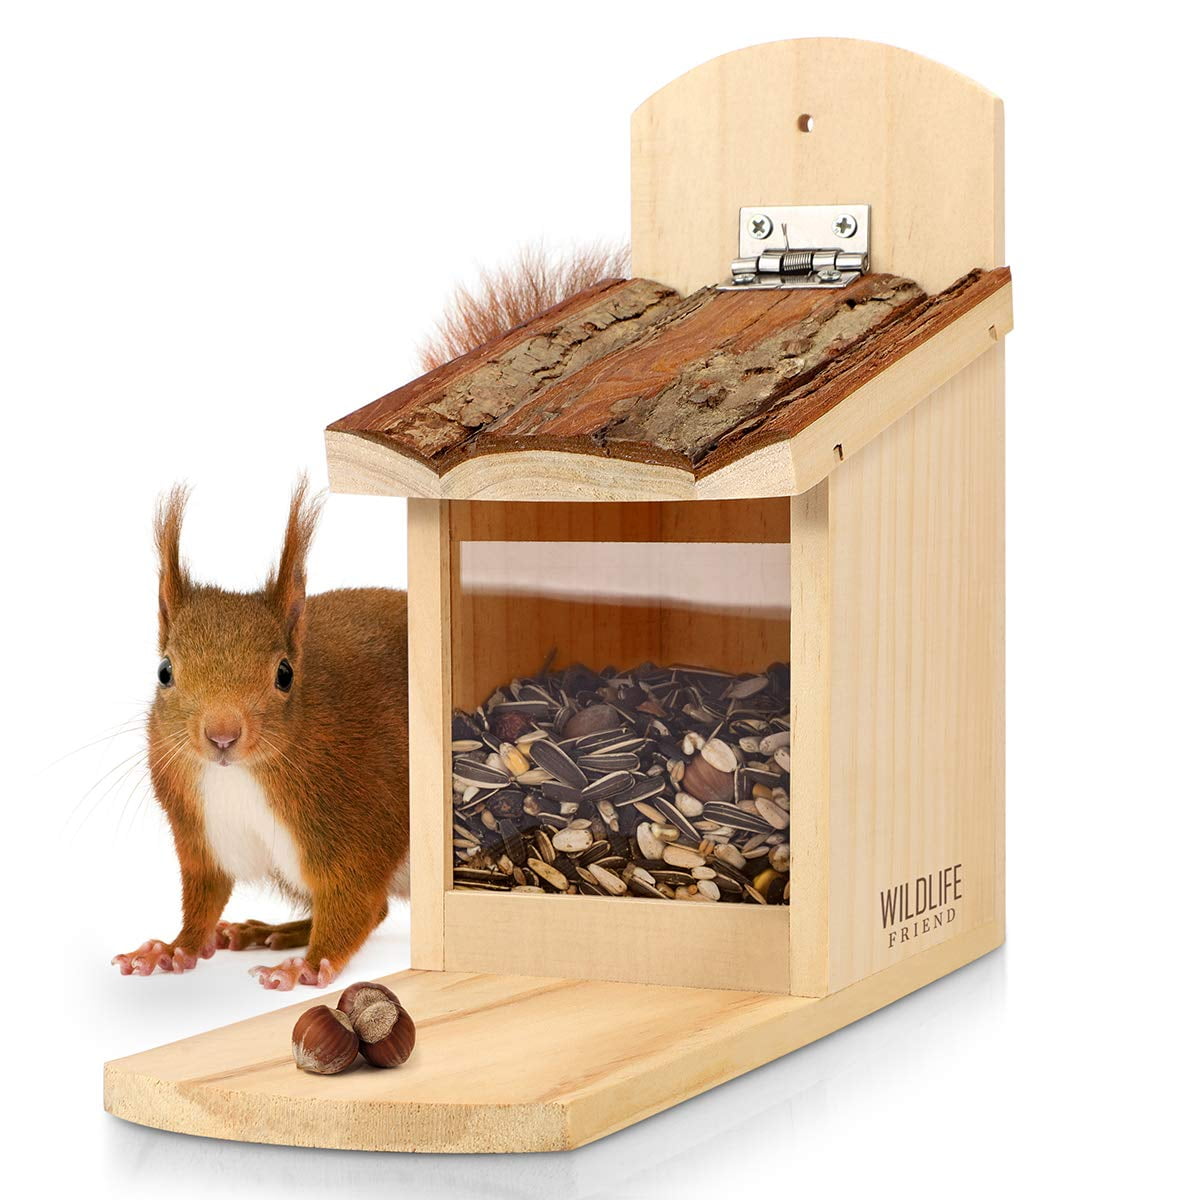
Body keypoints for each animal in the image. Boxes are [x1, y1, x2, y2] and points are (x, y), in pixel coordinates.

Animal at [113, 243, 626, 990]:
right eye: (163, 671)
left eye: (285, 673)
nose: (221, 735)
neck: (239, 779)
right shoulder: (200, 838)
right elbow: (202, 900)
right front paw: (170, 948)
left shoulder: (353, 823)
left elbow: (357, 903)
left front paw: (311, 968)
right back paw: (268, 930)